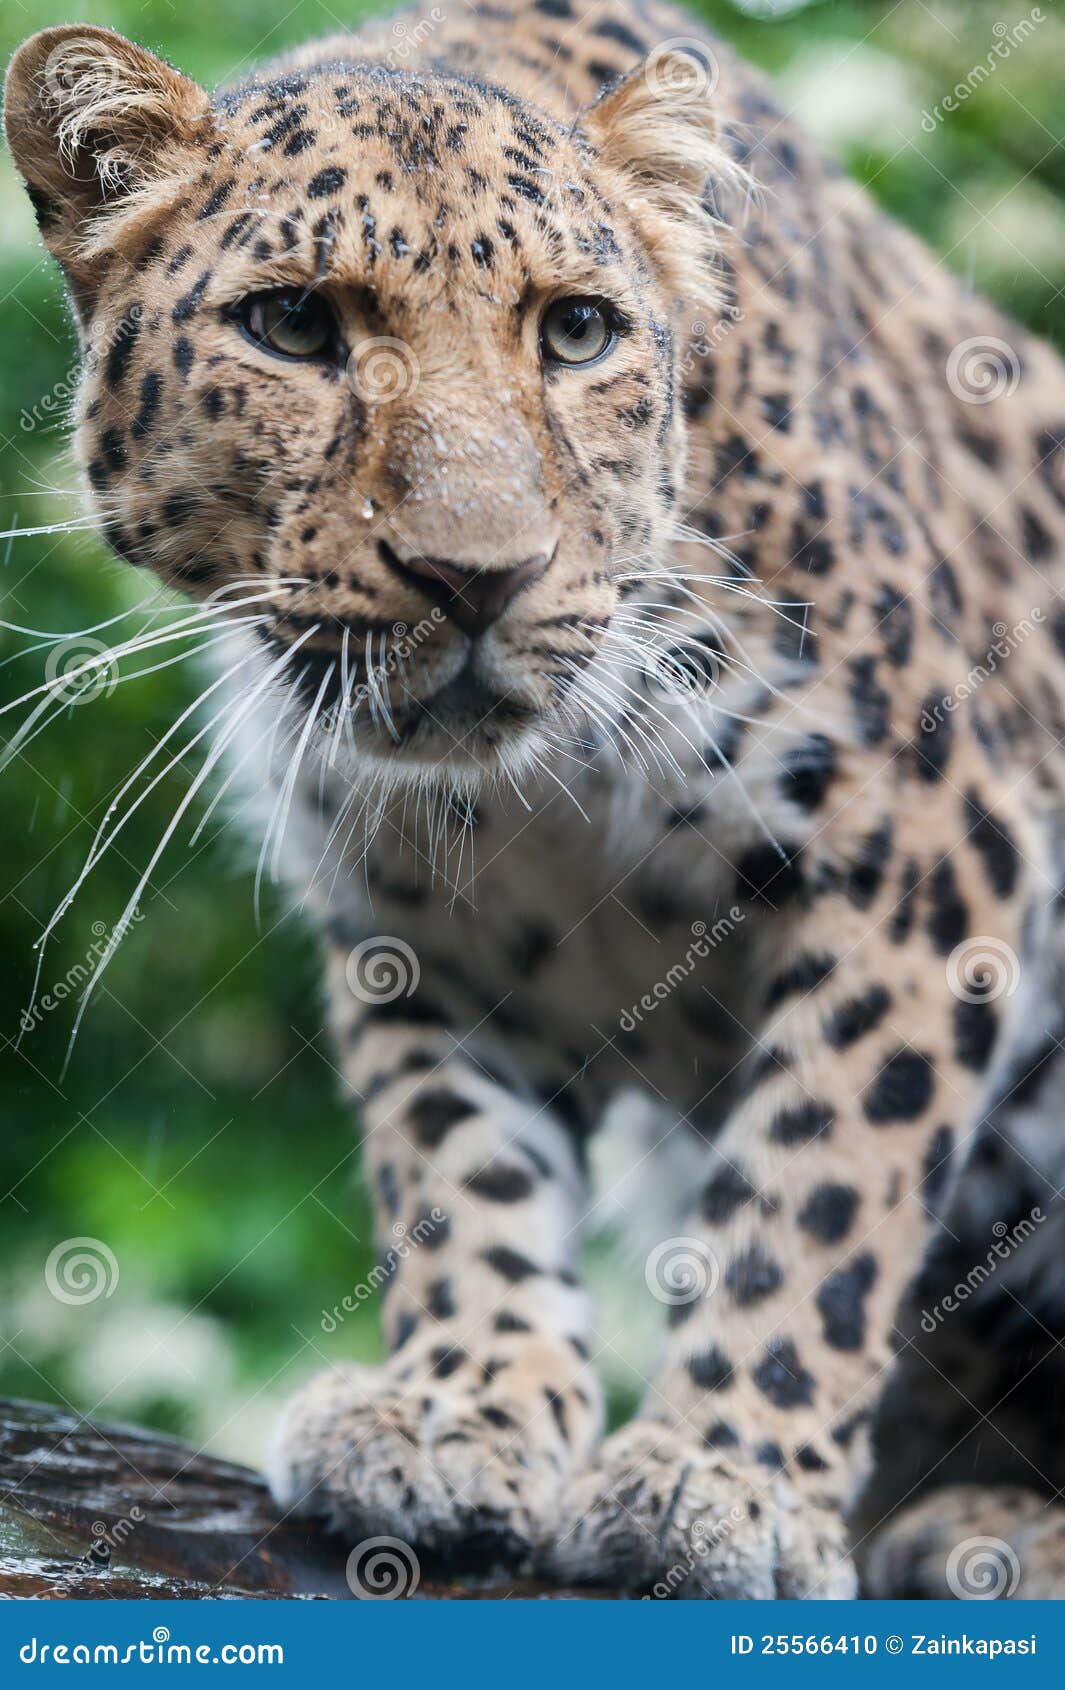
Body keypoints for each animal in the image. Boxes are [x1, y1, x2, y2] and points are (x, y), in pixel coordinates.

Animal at [6, 0, 1065, 1601]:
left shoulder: (931, 838)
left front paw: (720, 1474)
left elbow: (822, 1182)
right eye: (295, 327)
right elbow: (456, 1162)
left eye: (576, 332)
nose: (477, 577)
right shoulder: (414, 925)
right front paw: (458, 1411)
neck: (536, 788)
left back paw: (995, 1527)